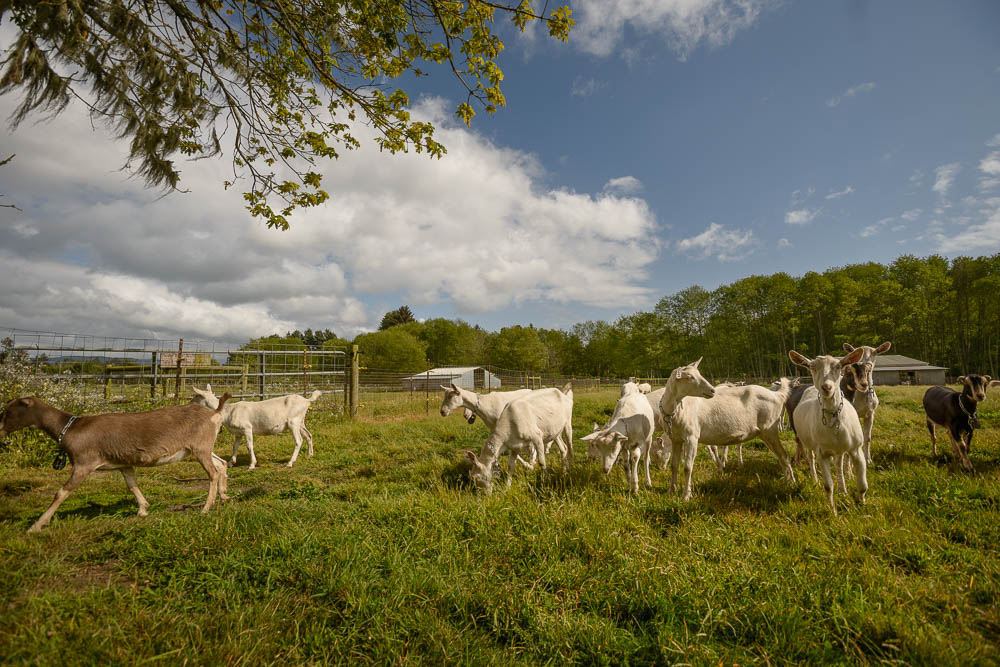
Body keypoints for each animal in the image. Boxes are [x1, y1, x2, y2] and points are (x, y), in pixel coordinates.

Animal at [0, 394, 231, 532]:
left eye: (8, 412)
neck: (70, 428)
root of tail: (215, 413)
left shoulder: (84, 463)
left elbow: (61, 492)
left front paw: (36, 525)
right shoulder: (123, 463)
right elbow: (131, 484)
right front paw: (143, 509)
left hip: (200, 446)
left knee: (212, 472)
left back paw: (206, 508)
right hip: (202, 447)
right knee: (221, 464)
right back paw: (223, 496)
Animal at [190, 384, 321, 469]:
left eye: (196, 396)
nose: (189, 403)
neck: (228, 411)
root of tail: (307, 401)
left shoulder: (247, 428)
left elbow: (249, 446)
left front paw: (252, 465)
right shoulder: (238, 433)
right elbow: (235, 446)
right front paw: (231, 463)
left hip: (293, 422)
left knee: (299, 440)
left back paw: (290, 462)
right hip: (301, 422)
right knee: (308, 435)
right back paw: (309, 455)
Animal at [659, 360, 794, 501]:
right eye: (690, 377)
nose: (712, 390)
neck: (676, 409)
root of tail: (777, 395)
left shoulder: (692, 437)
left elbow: (687, 467)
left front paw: (686, 496)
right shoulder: (676, 439)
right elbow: (674, 465)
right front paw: (671, 491)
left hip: (770, 428)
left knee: (784, 456)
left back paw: (791, 483)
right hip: (765, 432)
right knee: (781, 457)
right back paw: (789, 481)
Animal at [788, 348, 867, 514]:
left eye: (838, 366)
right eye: (812, 367)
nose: (827, 387)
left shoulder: (856, 449)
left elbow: (862, 485)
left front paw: (862, 504)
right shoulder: (822, 453)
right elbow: (828, 486)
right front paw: (832, 511)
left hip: (839, 449)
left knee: (838, 464)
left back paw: (843, 490)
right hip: (807, 441)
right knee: (810, 458)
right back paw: (815, 480)